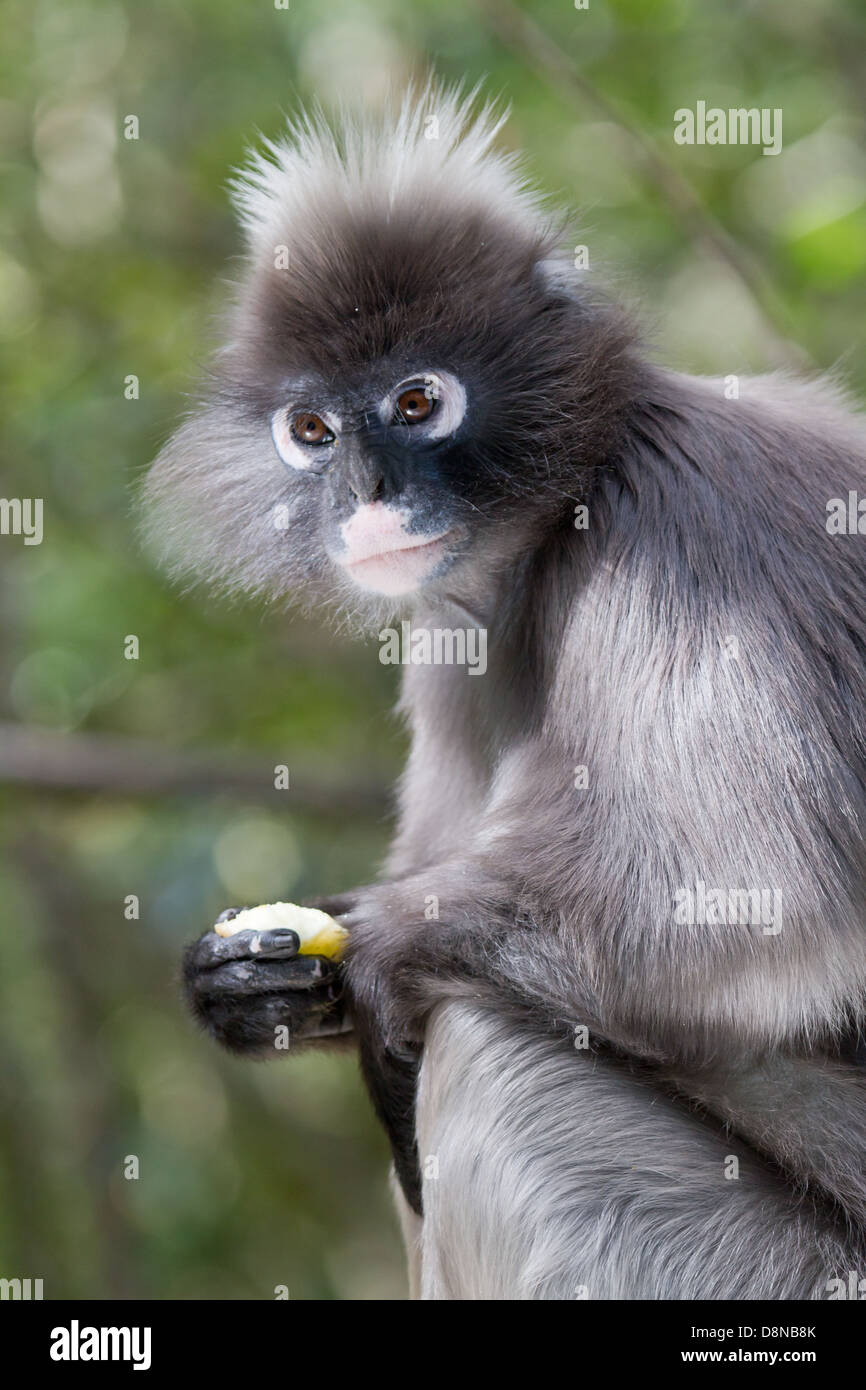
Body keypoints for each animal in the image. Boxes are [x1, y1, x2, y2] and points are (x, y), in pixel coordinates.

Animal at [146, 84, 866, 1298]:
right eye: (312, 430)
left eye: (418, 400)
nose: (367, 495)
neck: (564, 506)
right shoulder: (453, 623)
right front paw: (255, 988)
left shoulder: (683, 533)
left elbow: (744, 903)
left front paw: (371, 950)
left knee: (485, 1051)